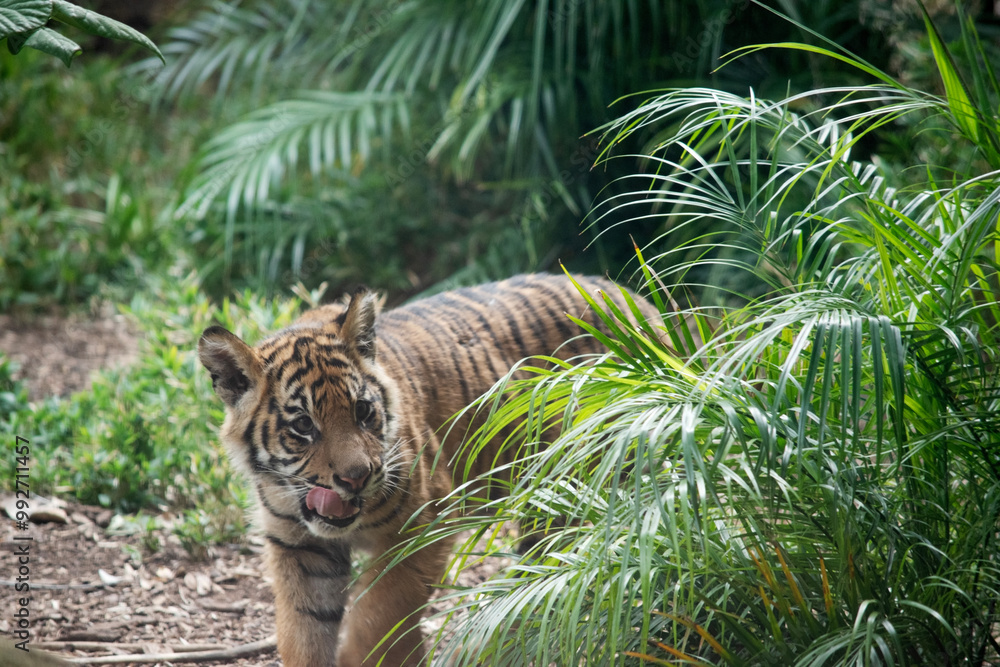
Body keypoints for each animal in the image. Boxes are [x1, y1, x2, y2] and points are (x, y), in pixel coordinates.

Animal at [197, 273, 662, 666]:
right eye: (303, 426)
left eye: (362, 411)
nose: (356, 477)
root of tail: (642, 303)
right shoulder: (298, 547)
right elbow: (304, 631)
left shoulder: (424, 523)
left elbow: (380, 612)